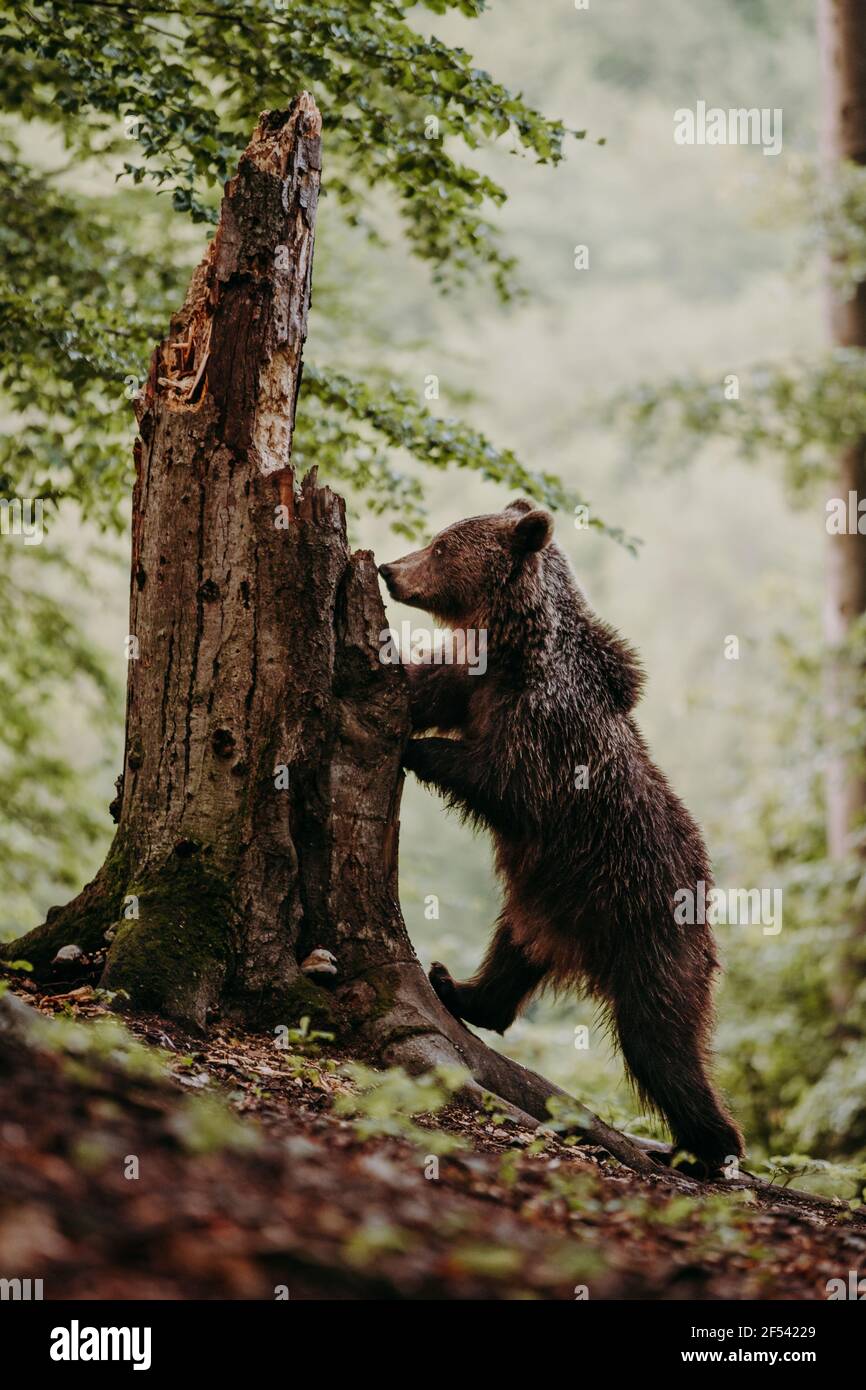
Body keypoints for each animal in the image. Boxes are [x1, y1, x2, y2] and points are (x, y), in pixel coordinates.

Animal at [378, 499, 744, 1169]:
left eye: (441, 547)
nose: (391, 569)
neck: (513, 651)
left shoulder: (546, 730)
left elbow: (503, 779)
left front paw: (417, 749)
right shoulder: (471, 680)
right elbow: (424, 687)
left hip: (649, 934)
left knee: (661, 1043)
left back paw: (703, 1148)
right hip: (543, 904)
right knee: (509, 960)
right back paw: (452, 985)